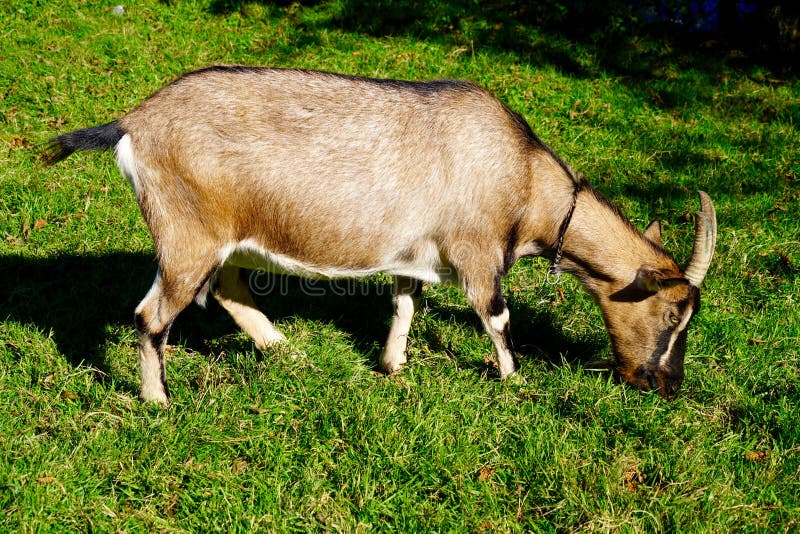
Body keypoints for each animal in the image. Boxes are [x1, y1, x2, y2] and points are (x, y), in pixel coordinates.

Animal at [45, 66, 717, 404]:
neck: (526, 179)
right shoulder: (478, 254)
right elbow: (496, 316)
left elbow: (404, 304)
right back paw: (159, 402)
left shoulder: (414, 255)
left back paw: (285, 350)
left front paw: (392, 366)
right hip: (188, 234)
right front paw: (515, 379)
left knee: (230, 291)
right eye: (674, 313)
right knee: (152, 314)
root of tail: (134, 122)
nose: (667, 386)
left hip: (225, 237)